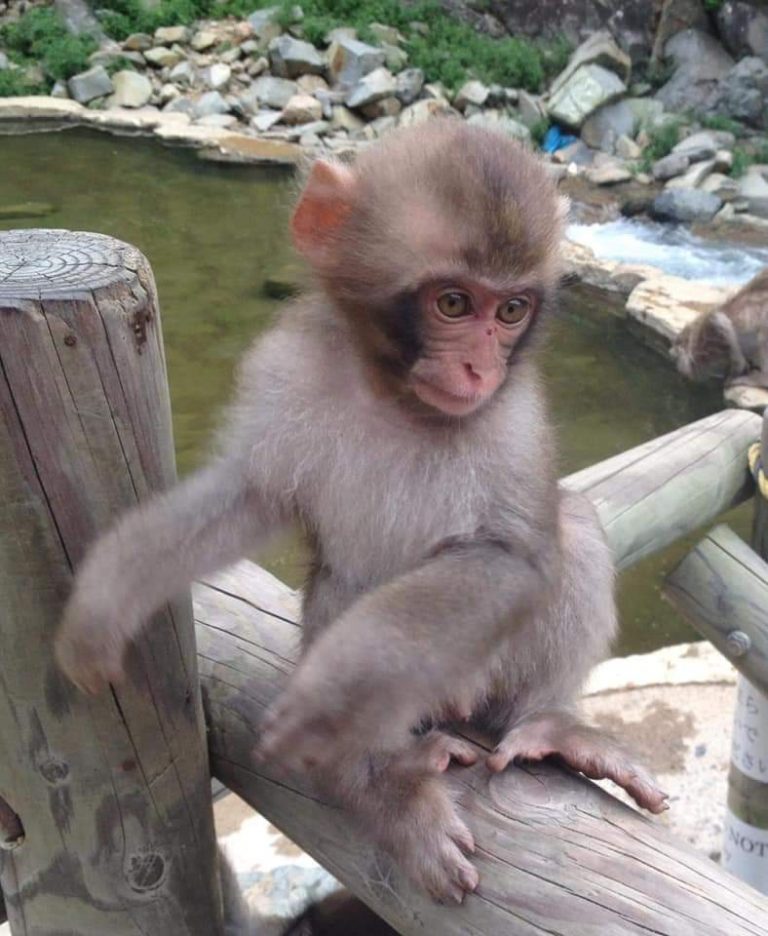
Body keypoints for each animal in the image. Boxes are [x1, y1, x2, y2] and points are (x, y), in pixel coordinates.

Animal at [55, 120, 667, 907]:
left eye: (510, 311)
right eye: (452, 305)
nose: (480, 369)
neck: (396, 397)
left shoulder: (515, 415)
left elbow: (512, 558)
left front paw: (334, 693)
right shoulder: (287, 366)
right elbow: (246, 494)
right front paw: (106, 596)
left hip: (480, 679)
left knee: (576, 533)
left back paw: (551, 726)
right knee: (341, 589)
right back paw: (386, 783)